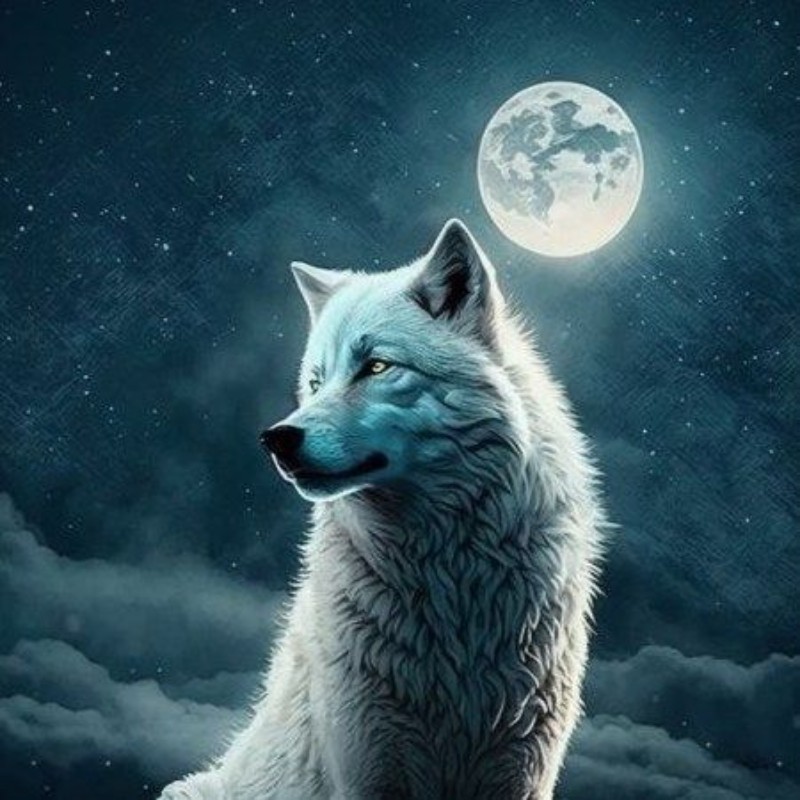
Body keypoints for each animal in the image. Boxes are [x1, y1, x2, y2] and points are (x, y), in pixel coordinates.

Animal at [160, 219, 606, 800]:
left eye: (375, 366)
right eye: (314, 381)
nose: (275, 438)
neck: (448, 575)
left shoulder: (522, 770)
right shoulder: (369, 764)